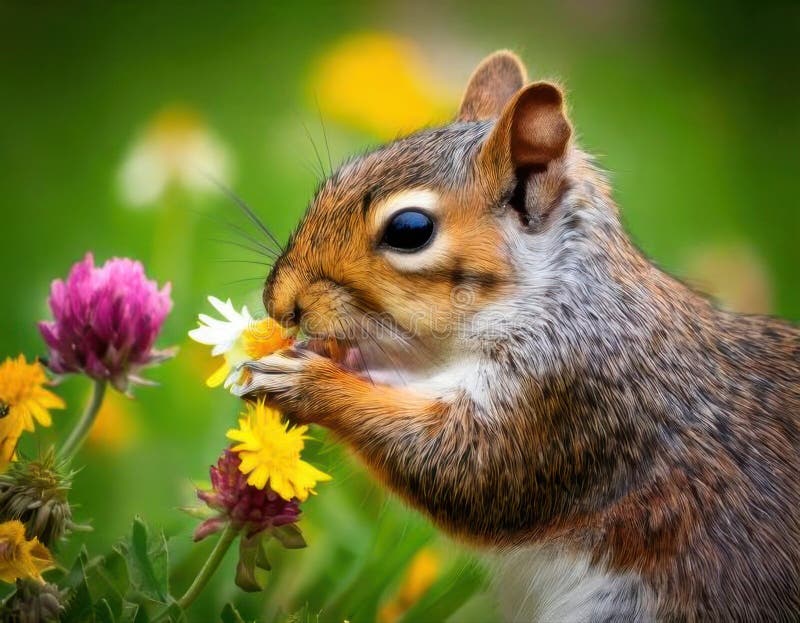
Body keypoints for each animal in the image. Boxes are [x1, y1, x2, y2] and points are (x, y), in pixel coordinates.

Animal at [234, 51, 800, 621]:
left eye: (410, 230)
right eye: (334, 179)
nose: (279, 302)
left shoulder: (573, 399)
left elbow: (462, 469)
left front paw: (305, 382)